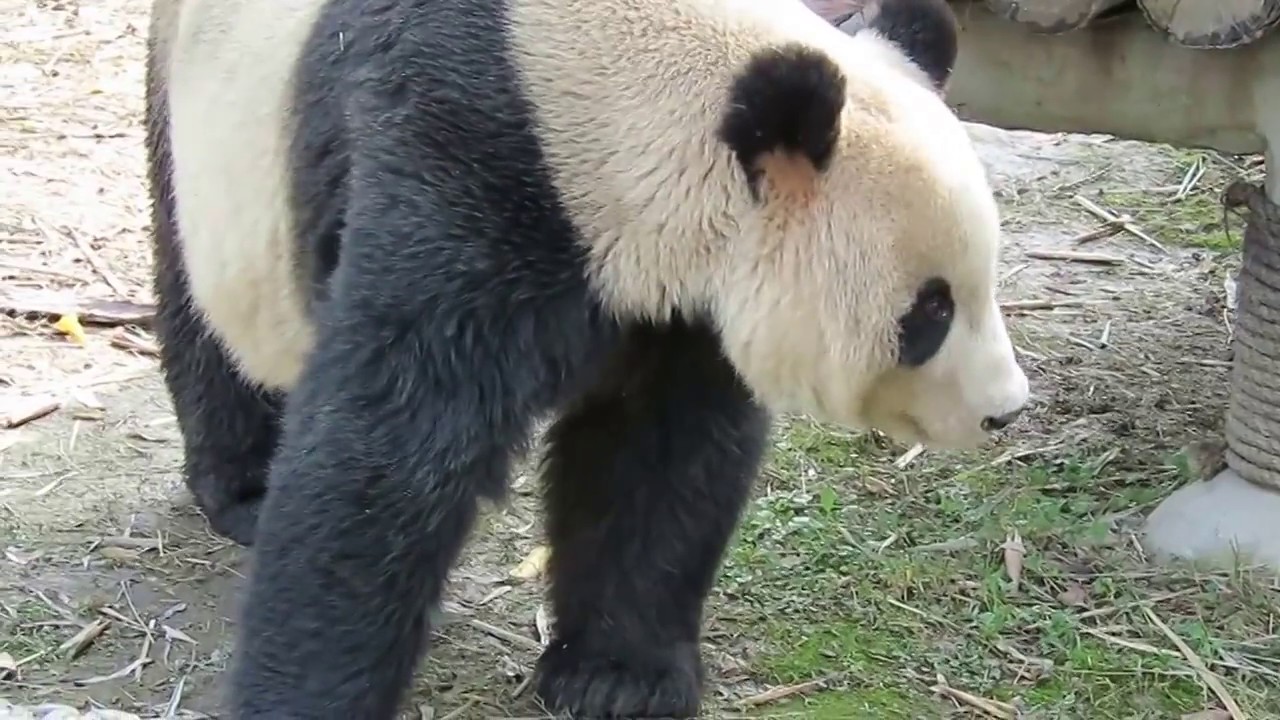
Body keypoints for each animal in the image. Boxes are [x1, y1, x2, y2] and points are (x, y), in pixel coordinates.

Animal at [143, 0, 1028, 717]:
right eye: (932, 309)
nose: (1005, 410)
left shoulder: (677, 308)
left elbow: (658, 457)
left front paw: (617, 679)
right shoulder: (469, 169)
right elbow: (389, 452)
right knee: (203, 297)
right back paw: (244, 486)